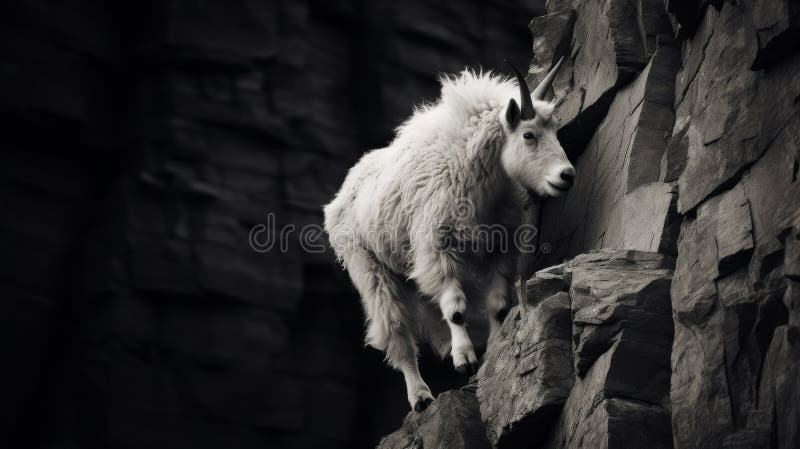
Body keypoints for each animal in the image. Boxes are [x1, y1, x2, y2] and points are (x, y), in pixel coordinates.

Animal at [323, 59, 573, 412]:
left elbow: (497, 307)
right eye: (529, 134)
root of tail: (343, 192)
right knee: (397, 329)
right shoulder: (438, 248)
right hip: (369, 267)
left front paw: (489, 358)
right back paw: (420, 396)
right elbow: (455, 308)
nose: (567, 176)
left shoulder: (500, 248)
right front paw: (464, 359)